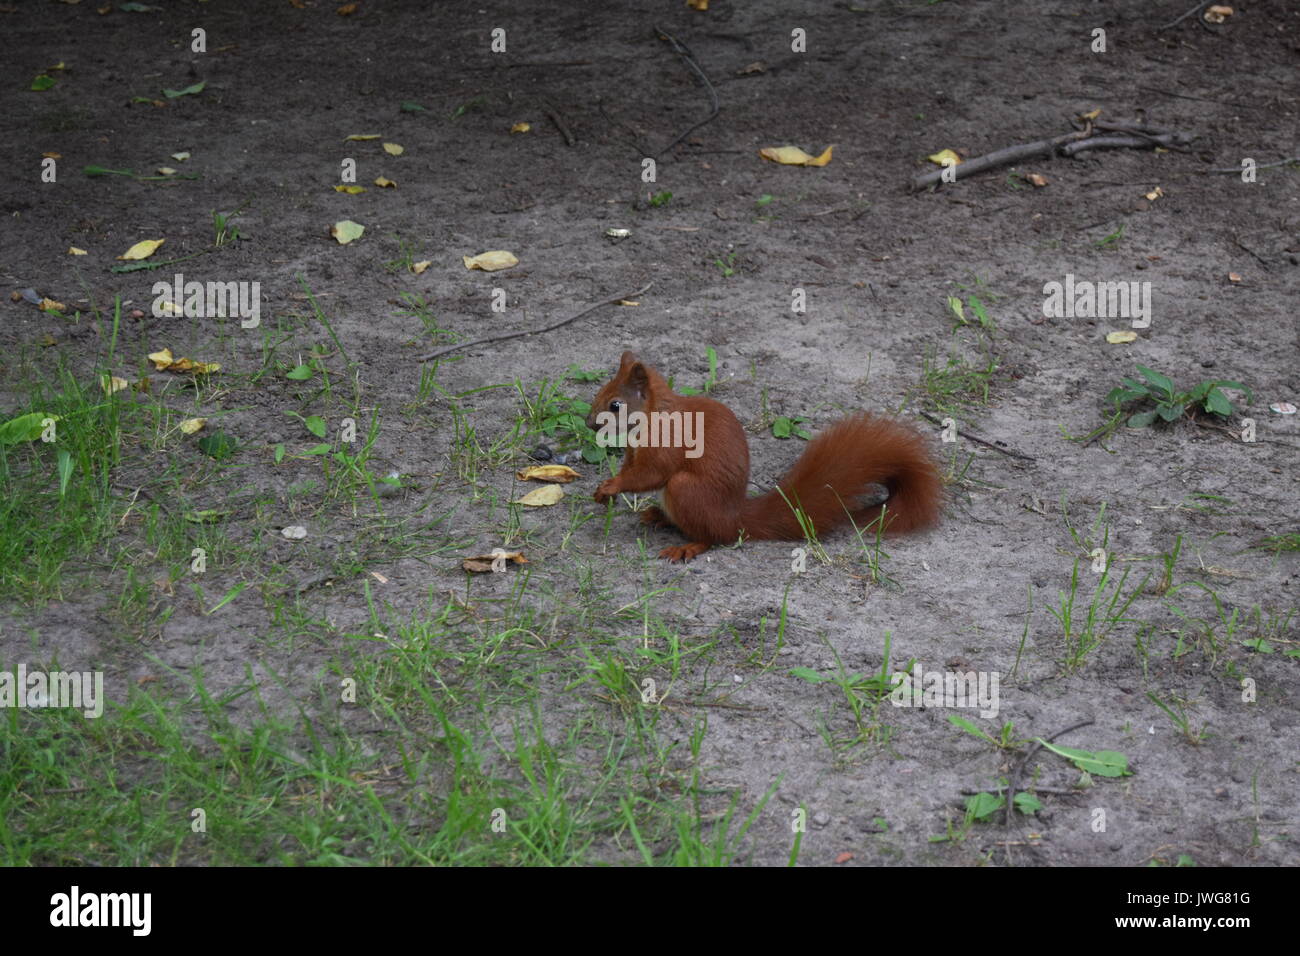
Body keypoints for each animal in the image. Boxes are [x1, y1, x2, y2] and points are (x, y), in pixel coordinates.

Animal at [587, 351, 943, 562]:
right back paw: (659, 516)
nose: (590, 423)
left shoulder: (667, 445)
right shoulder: (635, 451)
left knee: (714, 537)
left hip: (686, 490)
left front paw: (612, 486)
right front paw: (604, 488)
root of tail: (734, 517)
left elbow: (650, 474)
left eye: (615, 405)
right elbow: (632, 470)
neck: (654, 416)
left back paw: (688, 545)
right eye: (599, 393)